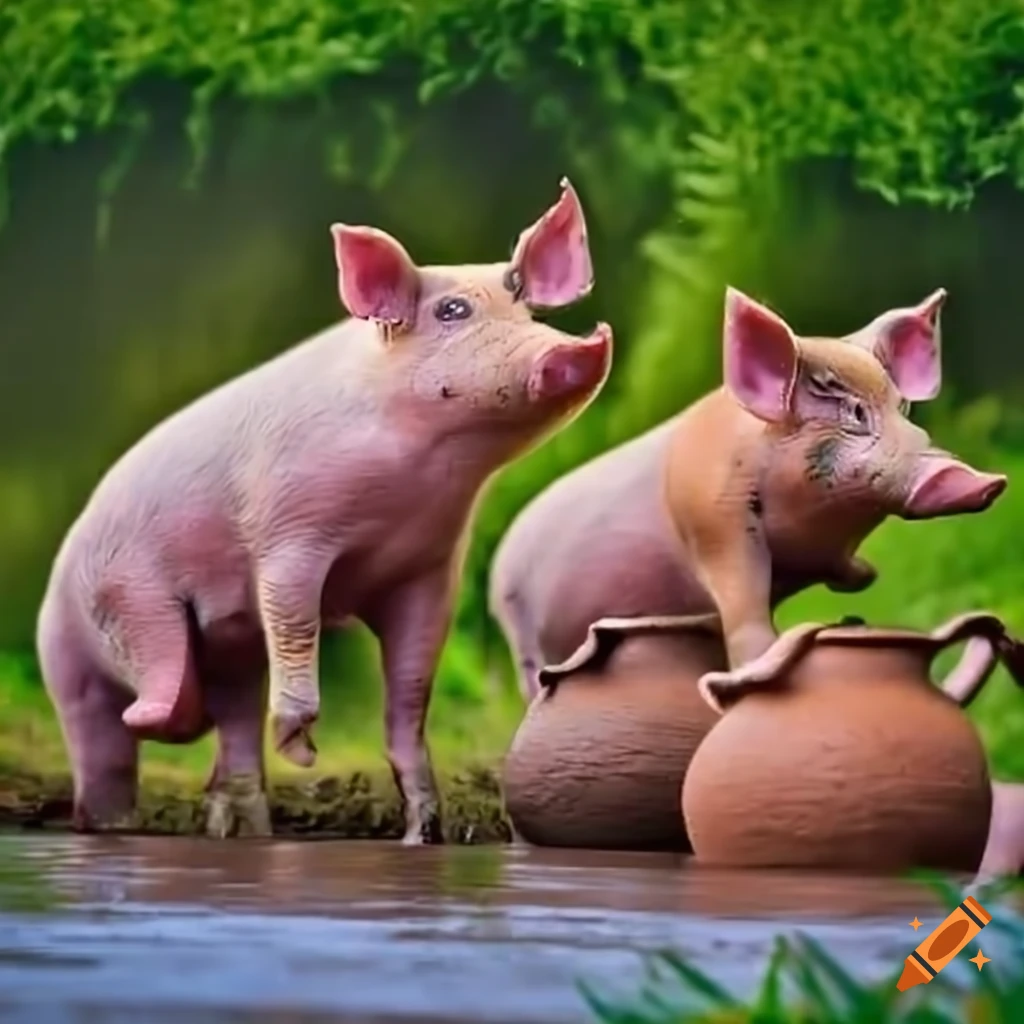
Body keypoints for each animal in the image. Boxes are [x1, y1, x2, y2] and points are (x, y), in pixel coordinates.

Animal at [36, 178, 613, 842]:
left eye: (525, 306)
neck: (416, 486)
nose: (579, 346)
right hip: (92, 645)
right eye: (453, 311)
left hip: (228, 658)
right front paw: (302, 751)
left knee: (231, 737)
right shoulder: (289, 535)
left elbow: (410, 697)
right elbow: (294, 623)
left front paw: (421, 835)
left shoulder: (428, 568)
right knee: (110, 746)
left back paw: (248, 832)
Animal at [491, 286, 1006, 699]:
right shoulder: (714, 523)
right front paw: (758, 659)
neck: (812, 527)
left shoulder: (824, 551)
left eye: (904, 409)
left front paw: (865, 577)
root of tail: (497, 570)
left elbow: (843, 570)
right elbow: (744, 599)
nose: (992, 482)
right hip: (523, 634)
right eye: (855, 415)